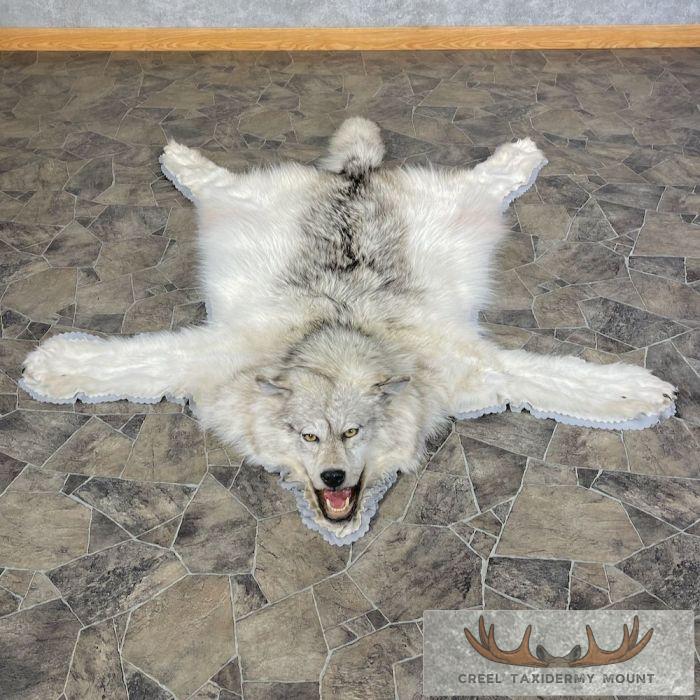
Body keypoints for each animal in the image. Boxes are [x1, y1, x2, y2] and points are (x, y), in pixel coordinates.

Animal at [21, 118, 676, 544]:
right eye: (308, 437)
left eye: (354, 431)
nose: (333, 477)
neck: (337, 328)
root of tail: (353, 180)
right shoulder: (207, 358)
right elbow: (134, 362)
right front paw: (53, 368)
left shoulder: (475, 369)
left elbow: (560, 381)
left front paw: (639, 395)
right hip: (242, 202)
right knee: (213, 181)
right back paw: (179, 159)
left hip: (463, 205)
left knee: (489, 177)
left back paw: (521, 155)